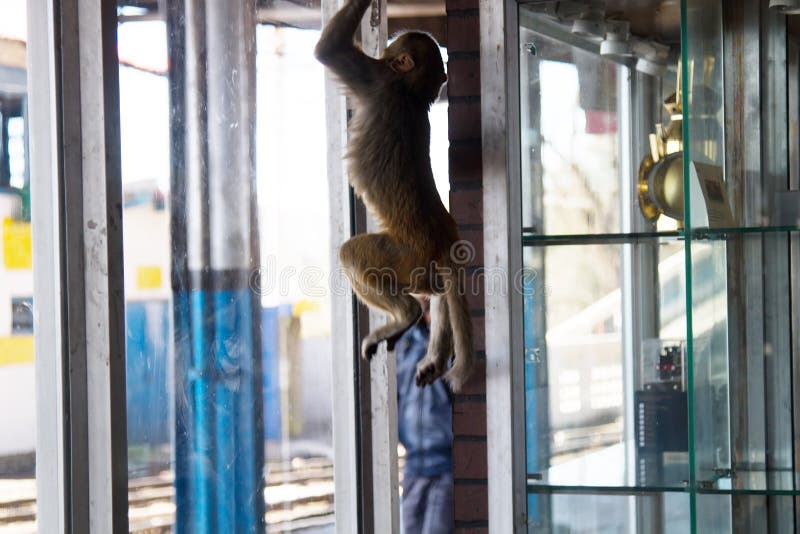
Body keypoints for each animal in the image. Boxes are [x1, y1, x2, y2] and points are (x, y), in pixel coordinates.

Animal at [315, 0, 476, 392]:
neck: (409, 93)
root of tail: (440, 240)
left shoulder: (375, 80)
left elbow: (329, 50)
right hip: (426, 265)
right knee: (439, 290)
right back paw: (434, 354)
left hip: (403, 257)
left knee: (352, 254)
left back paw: (407, 315)